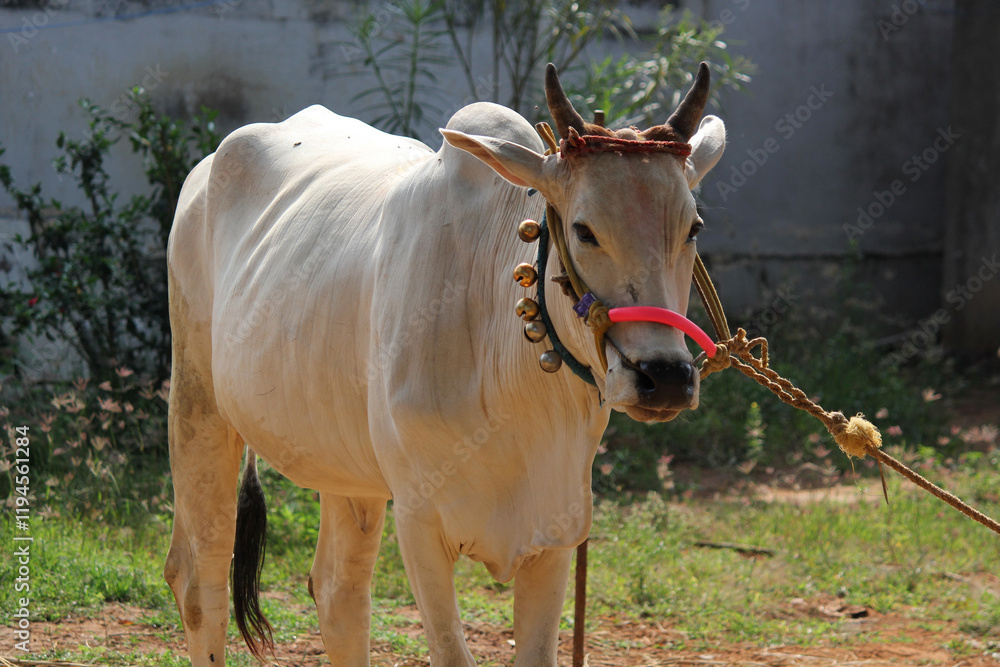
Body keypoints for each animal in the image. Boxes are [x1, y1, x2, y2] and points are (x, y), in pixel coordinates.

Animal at [164, 62, 726, 666]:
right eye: (583, 230)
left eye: (693, 228)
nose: (664, 378)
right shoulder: (420, 527)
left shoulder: (557, 530)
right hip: (198, 403)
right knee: (199, 579)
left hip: (345, 464)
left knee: (338, 592)